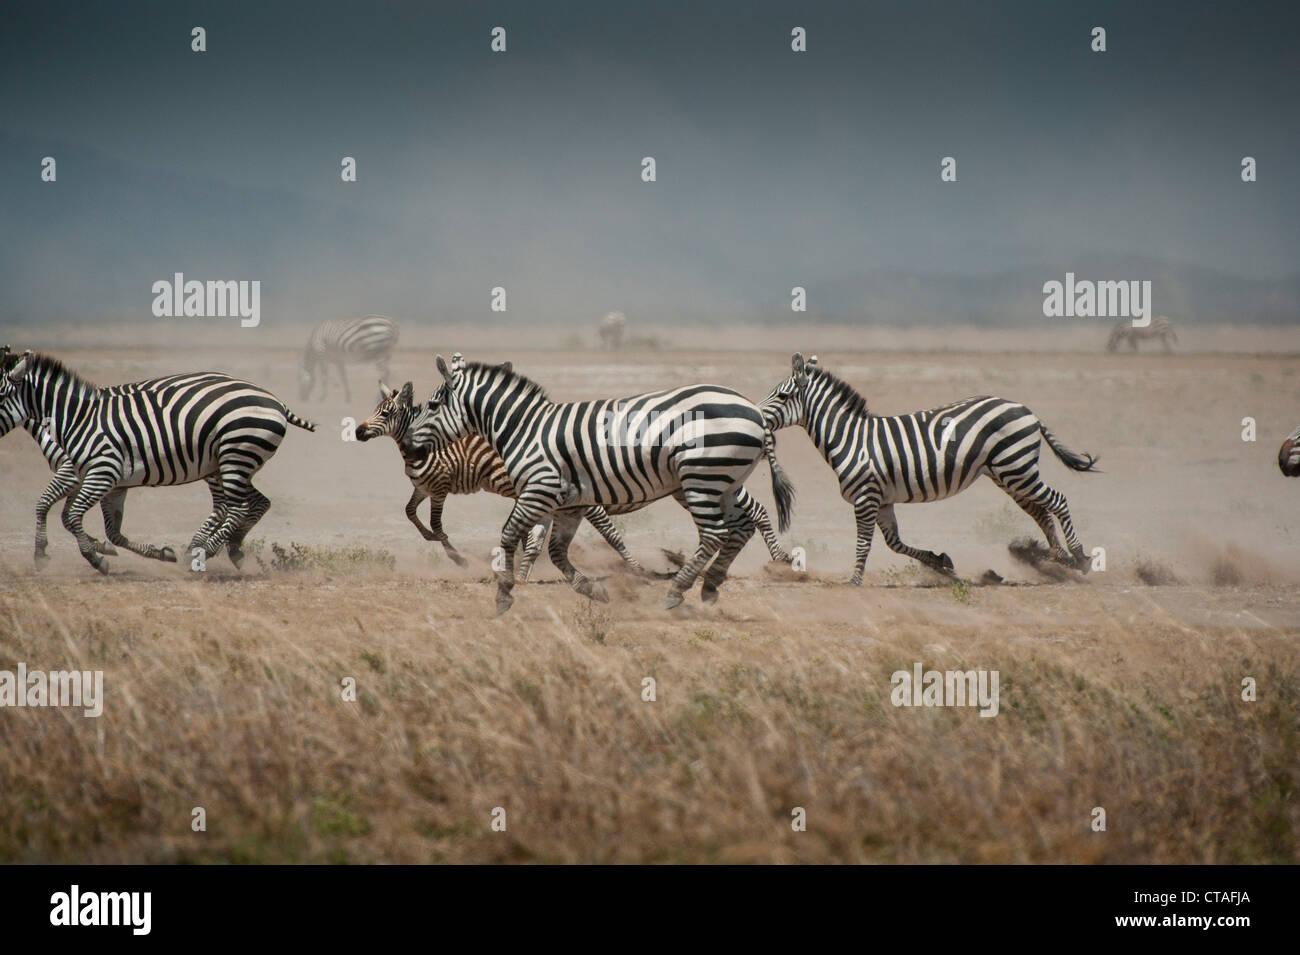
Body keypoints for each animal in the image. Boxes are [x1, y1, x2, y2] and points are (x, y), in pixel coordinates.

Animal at [0, 350, 316, 574]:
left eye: (0, 396)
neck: (76, 419)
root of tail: (276, 401)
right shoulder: (107, 481)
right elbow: (101, 527)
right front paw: (111, 549)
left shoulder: (90, 473)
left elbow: (60, 510)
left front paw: (87, 556)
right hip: (225, 463)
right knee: (248, 503)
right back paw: (226, 548)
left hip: (233, 457)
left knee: (235, 507)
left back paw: (203, 554)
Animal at [402, 354, 795, 612]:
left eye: (433, 405)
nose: (405, 446)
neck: (524, 428)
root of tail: (756, 411)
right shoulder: (569, 503)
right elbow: (555, 551)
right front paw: (591, 590)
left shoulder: (539, 490)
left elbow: (510, 535)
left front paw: (504, 592)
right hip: (721, 481)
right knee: (740, 527)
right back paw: (711, 586)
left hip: (701, 476)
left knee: (715, 533)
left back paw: (678, 590)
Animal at [760, 353, 1097, 584]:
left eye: (782, 395)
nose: (759, 416)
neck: (850, 438)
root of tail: (1027, 410)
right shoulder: (883, 500)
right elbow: (895, 543)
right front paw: (940, 562)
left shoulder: (866, 497)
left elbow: (864, 544)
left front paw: (854, 580)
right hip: (1009, 474)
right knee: (1041, 511)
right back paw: (1058, 560)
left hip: (1017, 468)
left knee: (1058, 501)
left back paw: (1079, 556)